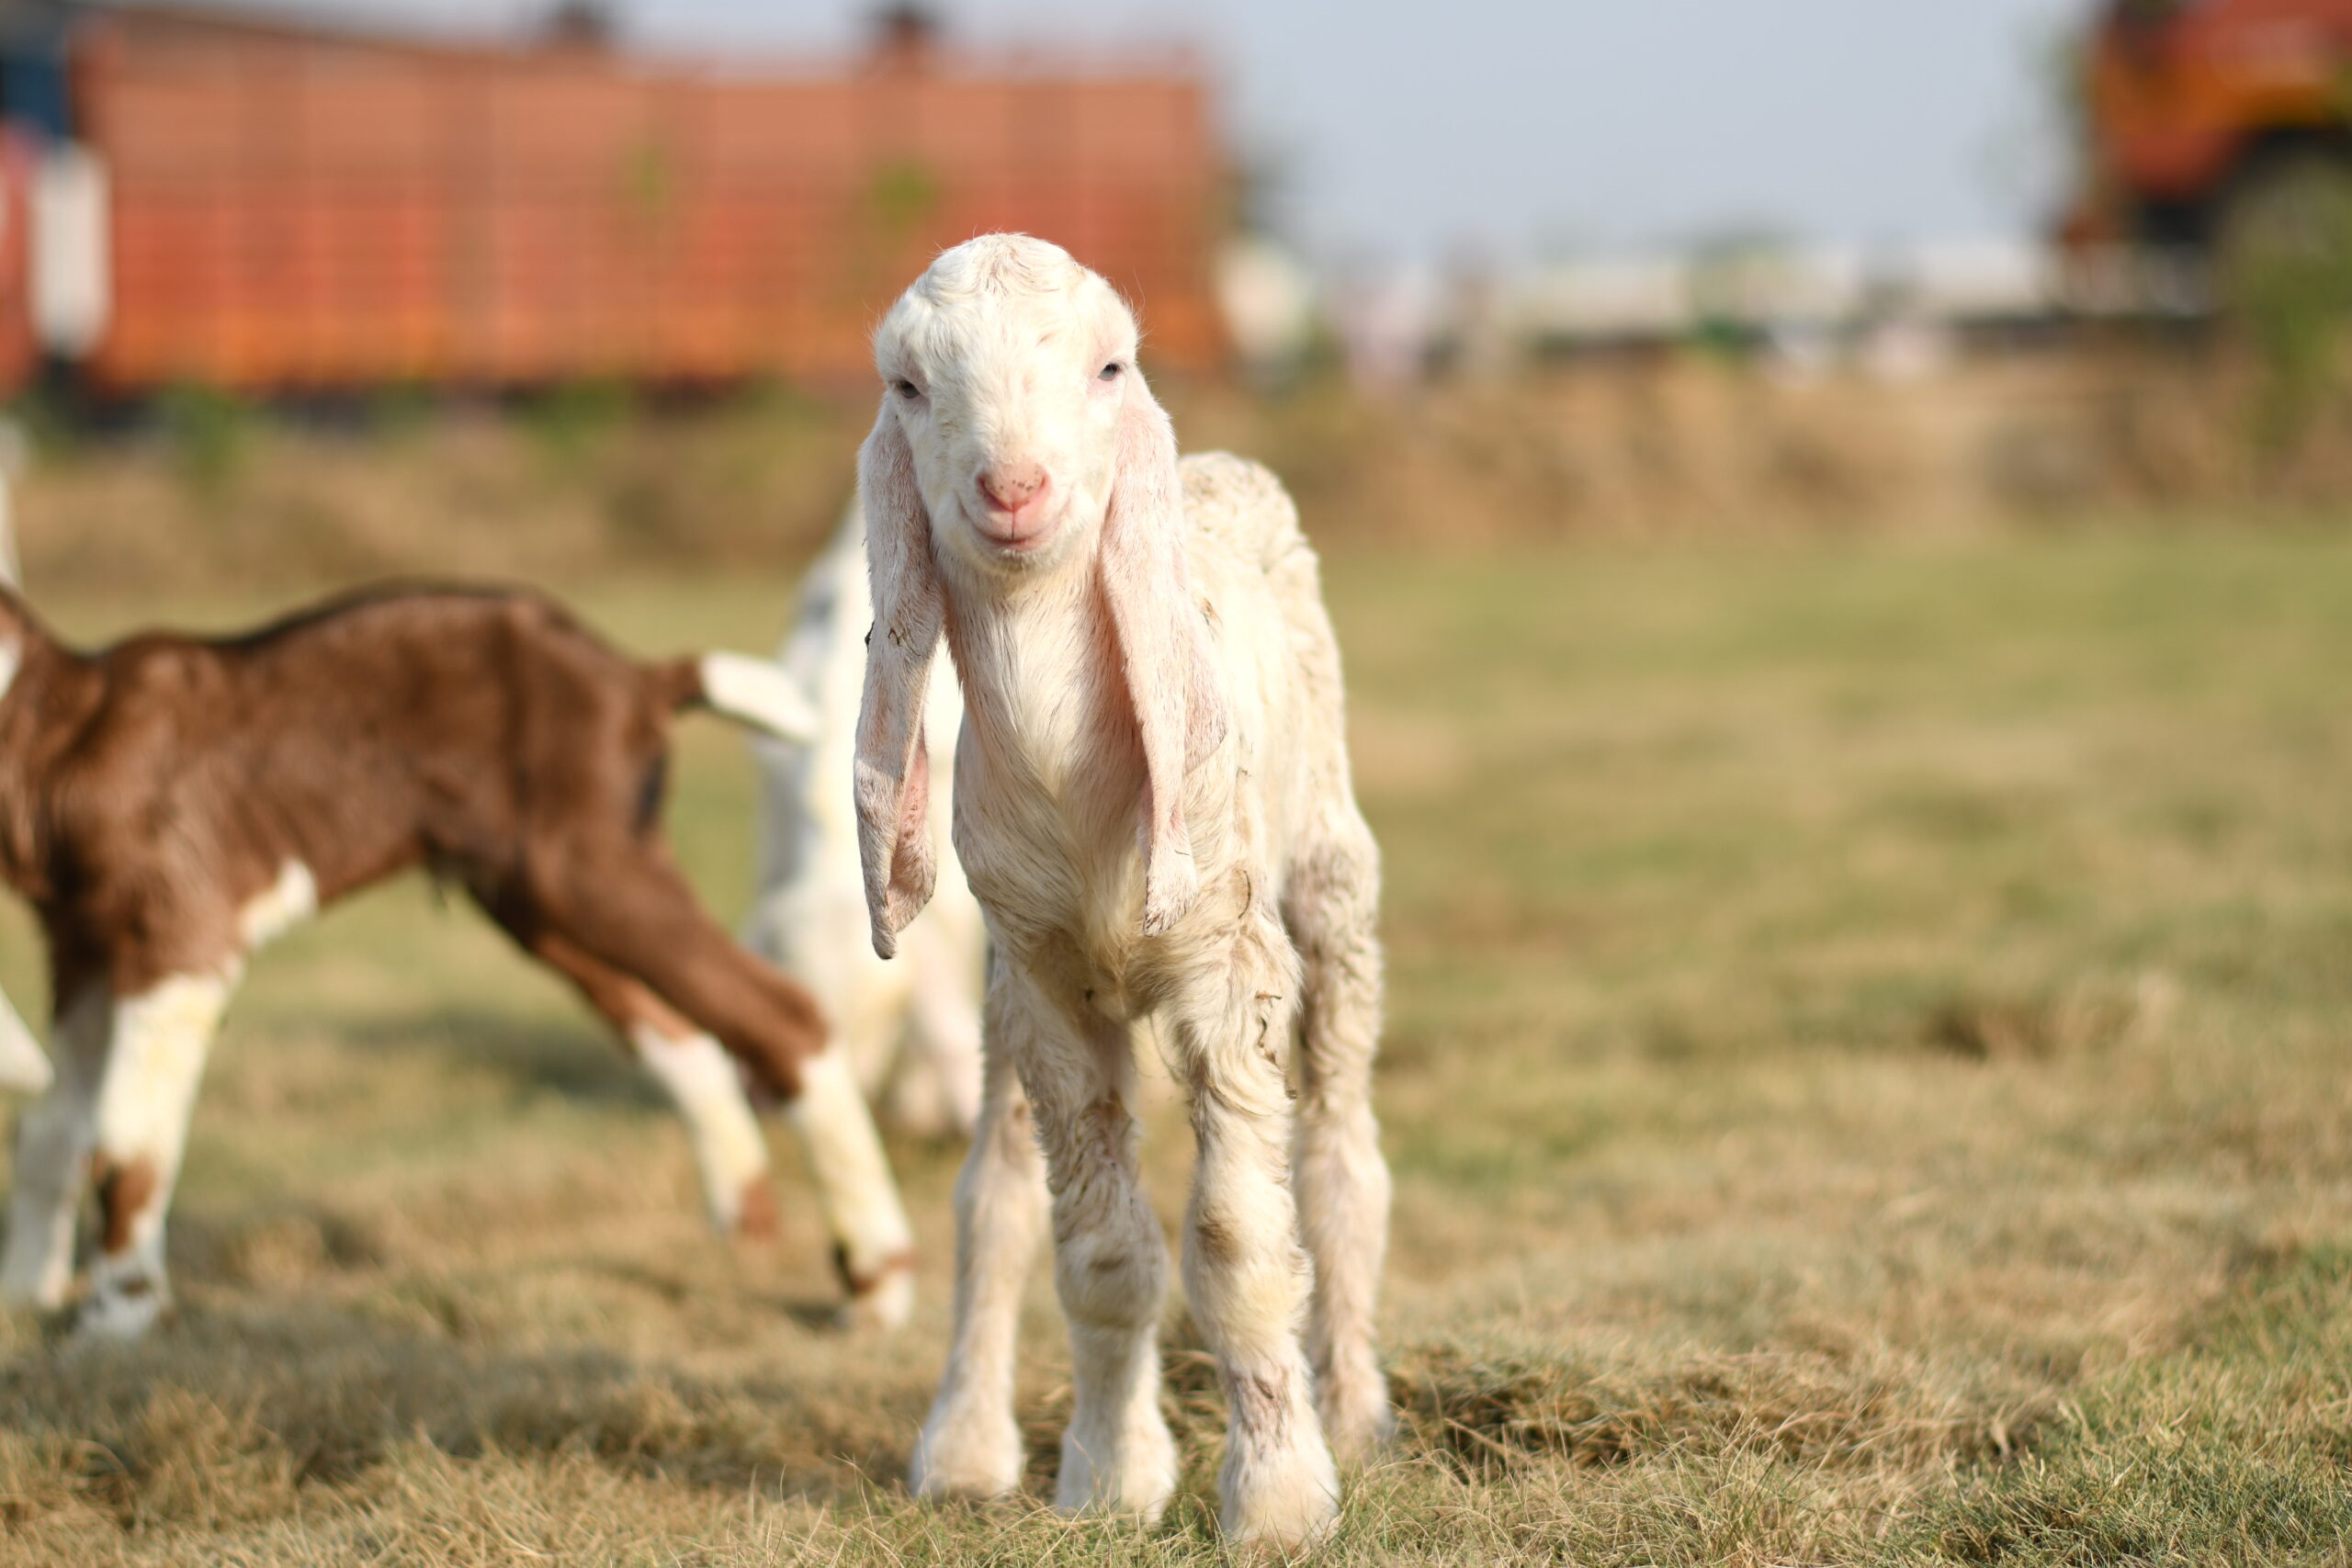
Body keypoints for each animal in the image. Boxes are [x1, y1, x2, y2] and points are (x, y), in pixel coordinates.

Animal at [0, 584, 916, 1337]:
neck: (59, 723)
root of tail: (637, 677)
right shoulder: (82, 948)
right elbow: (53, 1126)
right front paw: (23, 1302)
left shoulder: (179, 934)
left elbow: (125, 1142)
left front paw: (116, 1323)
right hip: (540, 899)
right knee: (680, 1032)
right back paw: (749, 1221)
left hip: (589, 869)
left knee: (782, 1016)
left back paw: (876, 1275)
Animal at [856, 234, 1392, 1549]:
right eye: (909, 386)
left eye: (1109, 368)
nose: (1012, 488)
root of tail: (1211, 466)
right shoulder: (1050, 991)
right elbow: (1100, 1255)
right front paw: (1107, 1478)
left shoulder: (1228, 978)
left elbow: (1239, 1245)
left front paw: (1280, 1499)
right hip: (1000, 994)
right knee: (993, 1197)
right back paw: (963, 1446)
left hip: (1329, 892)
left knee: (1342, 1163)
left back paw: (1357, 1408)